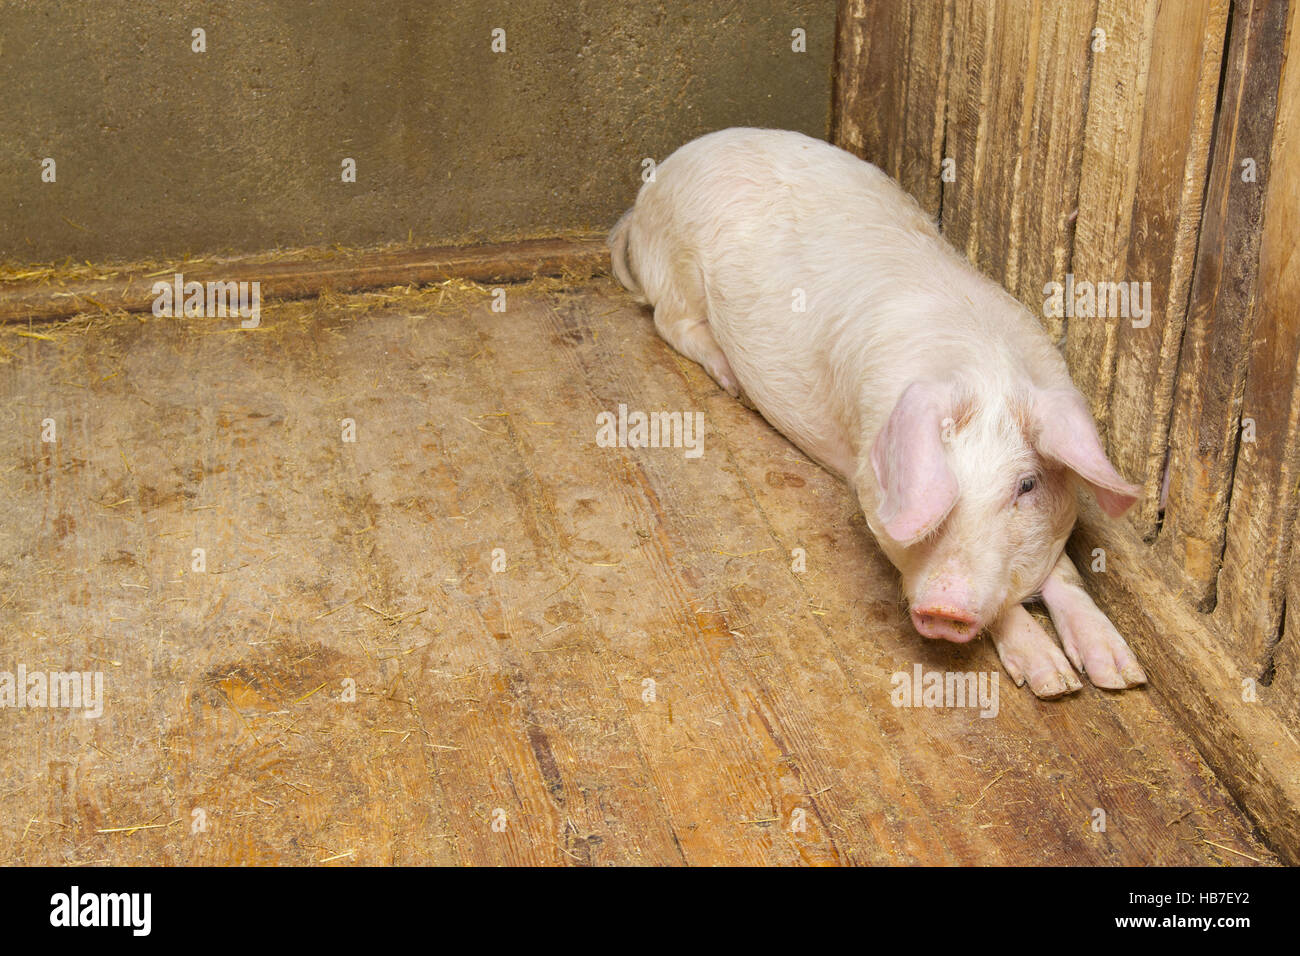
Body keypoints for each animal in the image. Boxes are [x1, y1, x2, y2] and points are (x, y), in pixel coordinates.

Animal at [608, 127, 1146, 699]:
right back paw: (733, 383)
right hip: (677, 274)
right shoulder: (872, 489)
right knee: (672, 323)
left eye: (1026, 485)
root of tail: (657, 182)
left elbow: (1063, 573)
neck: (986, 368)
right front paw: (1054, 682)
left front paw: (1119, 675)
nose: (945, 607)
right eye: (939, 481)